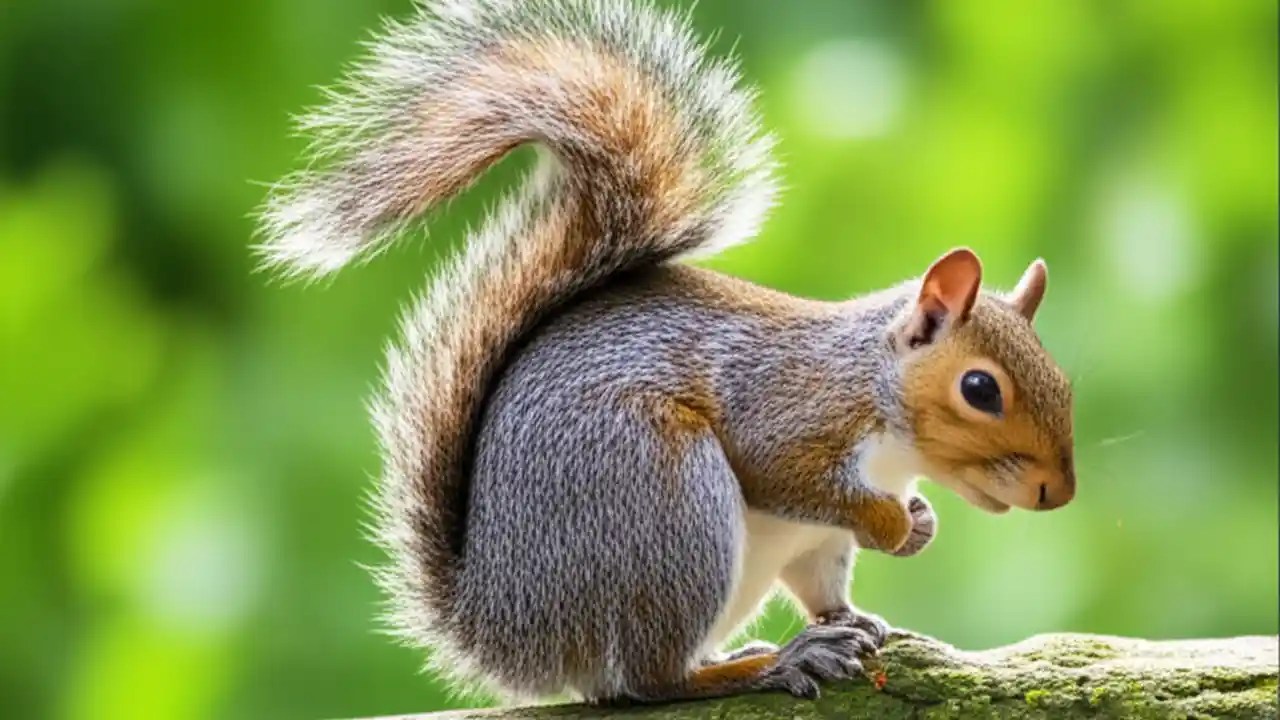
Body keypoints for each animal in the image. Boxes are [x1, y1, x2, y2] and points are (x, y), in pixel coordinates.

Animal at [256, 0, 1076, 706]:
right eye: (980, 389)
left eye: (1063, 384)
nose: (1056, 494)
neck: (875, 397)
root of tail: (505, 628)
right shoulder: (787, 410)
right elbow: (791, 476)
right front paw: (895, 525)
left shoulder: (817, 545)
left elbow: (824, 583)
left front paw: (911, 534)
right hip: (666, 498)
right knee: (647, 680)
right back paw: (767, 664)